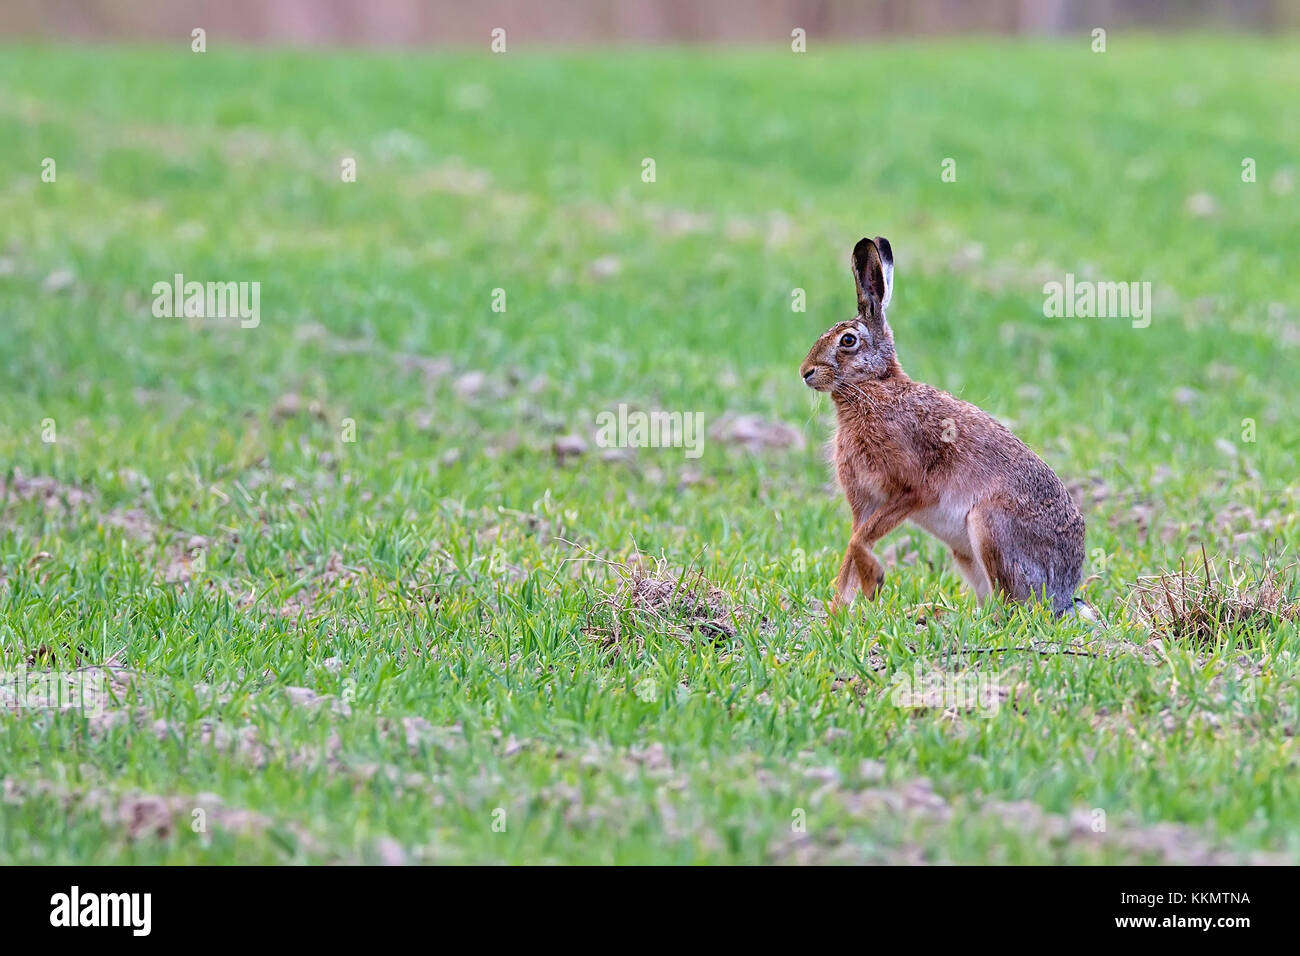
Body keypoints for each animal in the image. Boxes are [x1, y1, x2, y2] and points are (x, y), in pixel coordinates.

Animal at [800, 236, 1087, 617]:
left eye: (848, 340)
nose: (805, 372)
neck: (873, 387)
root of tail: (1063, 595)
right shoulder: (864, 503)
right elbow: (851, 545)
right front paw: (835, 611)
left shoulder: (912, 489)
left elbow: (860, 541)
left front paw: (873, 582)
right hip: (964, 551)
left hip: (989, 527)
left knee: (1010, 608)